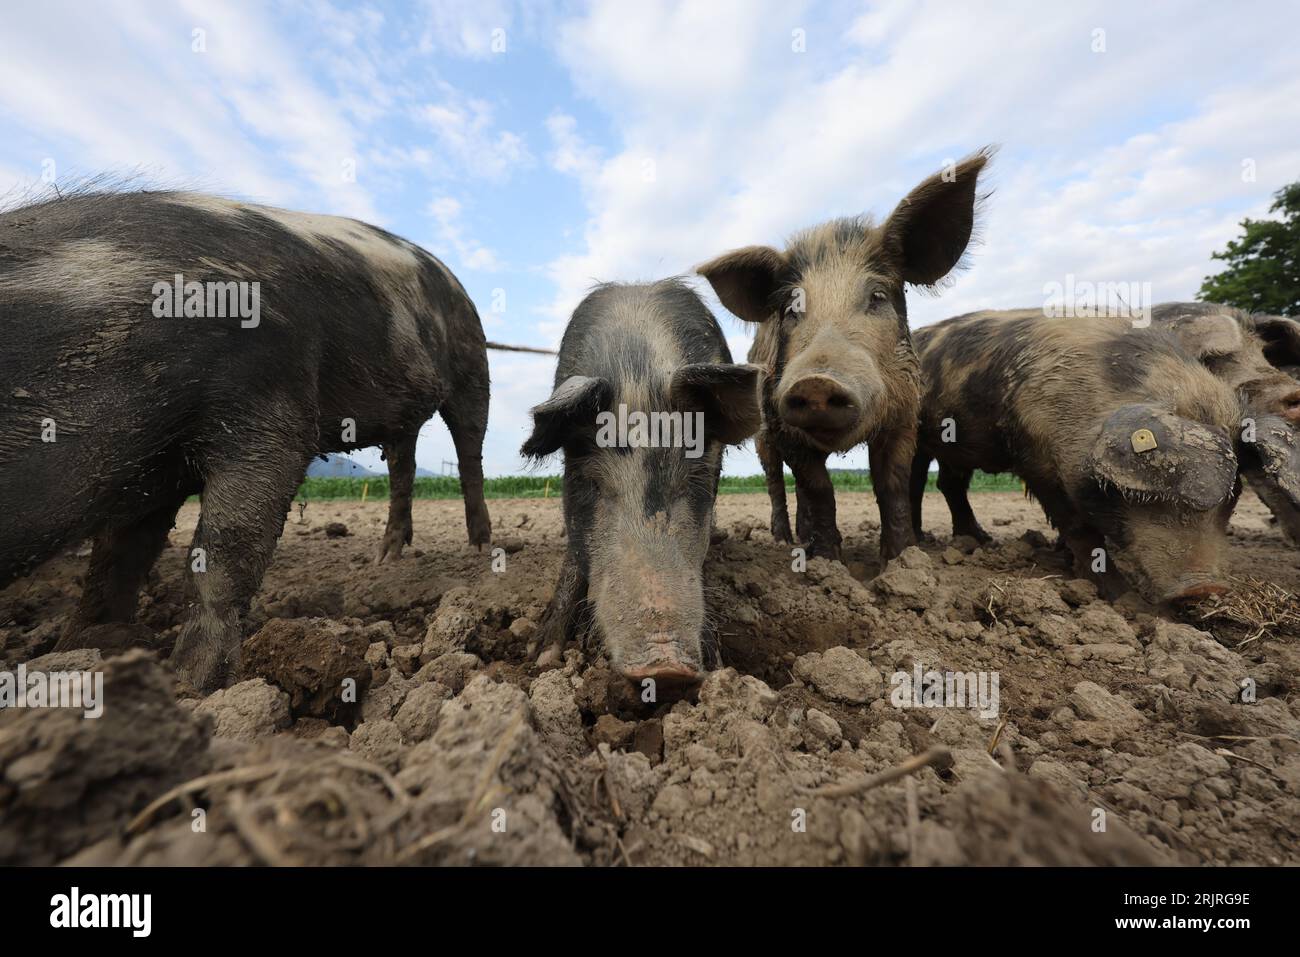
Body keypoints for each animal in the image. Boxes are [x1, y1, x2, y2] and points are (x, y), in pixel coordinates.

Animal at [0, 188, 491, 691]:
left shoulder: (271, 398)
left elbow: (225, 545)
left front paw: (191, 683)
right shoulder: (148, 474)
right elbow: (116, 560)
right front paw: (77, 647)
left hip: (473, 365)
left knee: (470, 454)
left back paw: (479, 547)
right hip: (402, 418)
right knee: (403, 467)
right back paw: (387, 558)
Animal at [521, 280, 761, 685]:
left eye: (693, 483)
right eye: (593, 484)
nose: (664, 667)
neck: (637, 374)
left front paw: (716, 665)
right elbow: (574, 557)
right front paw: (540, 658)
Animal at [696, 149, 992, 563]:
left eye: (878, 296)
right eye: (792, 308)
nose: (816, 381)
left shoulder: (905, 416)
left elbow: (891, 485)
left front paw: (902, 559)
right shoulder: (781, 422)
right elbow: (819, 487)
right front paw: (826, 561)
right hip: (762, 436)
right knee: (775, 481)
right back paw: (785, 541)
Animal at [908, 311, 1249, 603]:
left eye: (1232, 498)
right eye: (1139, 494)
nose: (1204, 587)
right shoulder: (1036, 459)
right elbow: (1078, 528)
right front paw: (1121, 598)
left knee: (950, 485)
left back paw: (979, 539)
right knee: (916, 481)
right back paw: (921, 539)